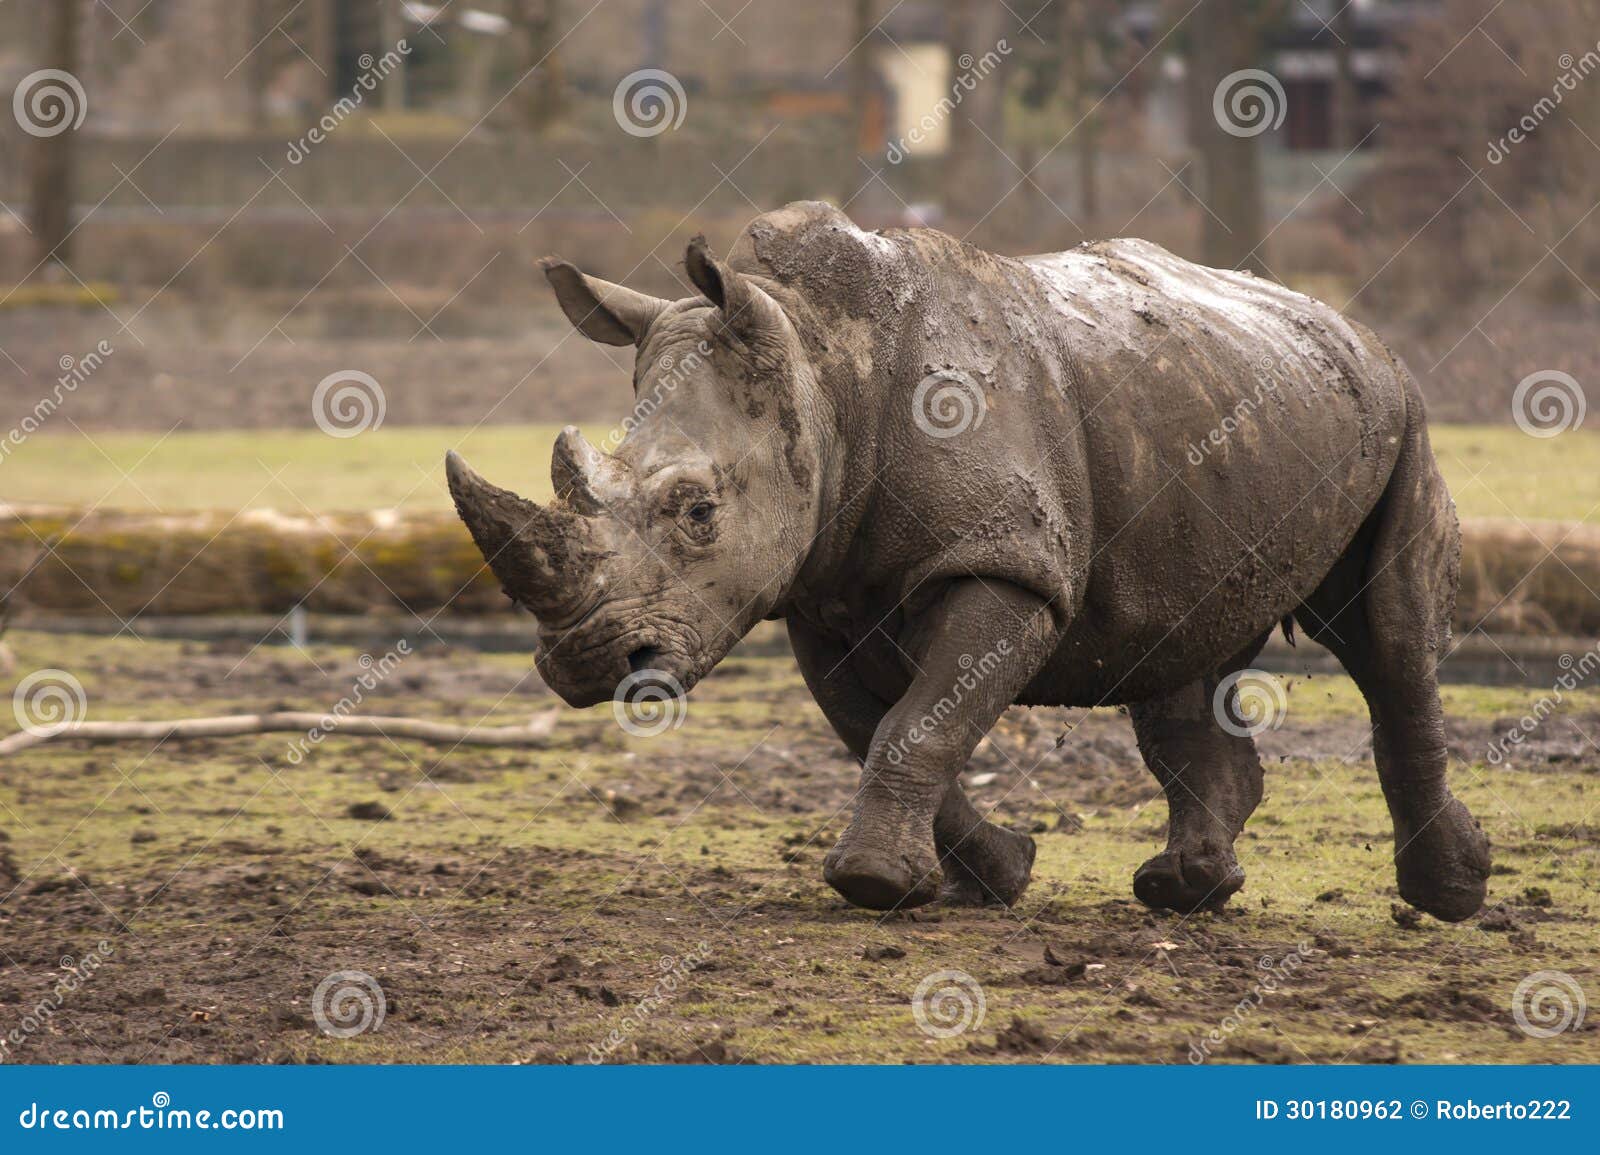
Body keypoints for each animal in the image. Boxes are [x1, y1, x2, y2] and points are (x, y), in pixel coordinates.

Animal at [446, 201, 1490, 922]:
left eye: (699, 511)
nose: (586, 664)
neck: (820, 365)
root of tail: (1344, 322)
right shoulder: (819, 587)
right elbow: (879, 726)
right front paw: (989, 877)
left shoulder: (1004, 562)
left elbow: (921, 721)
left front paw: (873, 885)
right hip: (1223, 418)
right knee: (1178, 645)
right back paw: (1184, 890)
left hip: (1399, 412)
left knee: (1388, 641)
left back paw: (1449, 897)